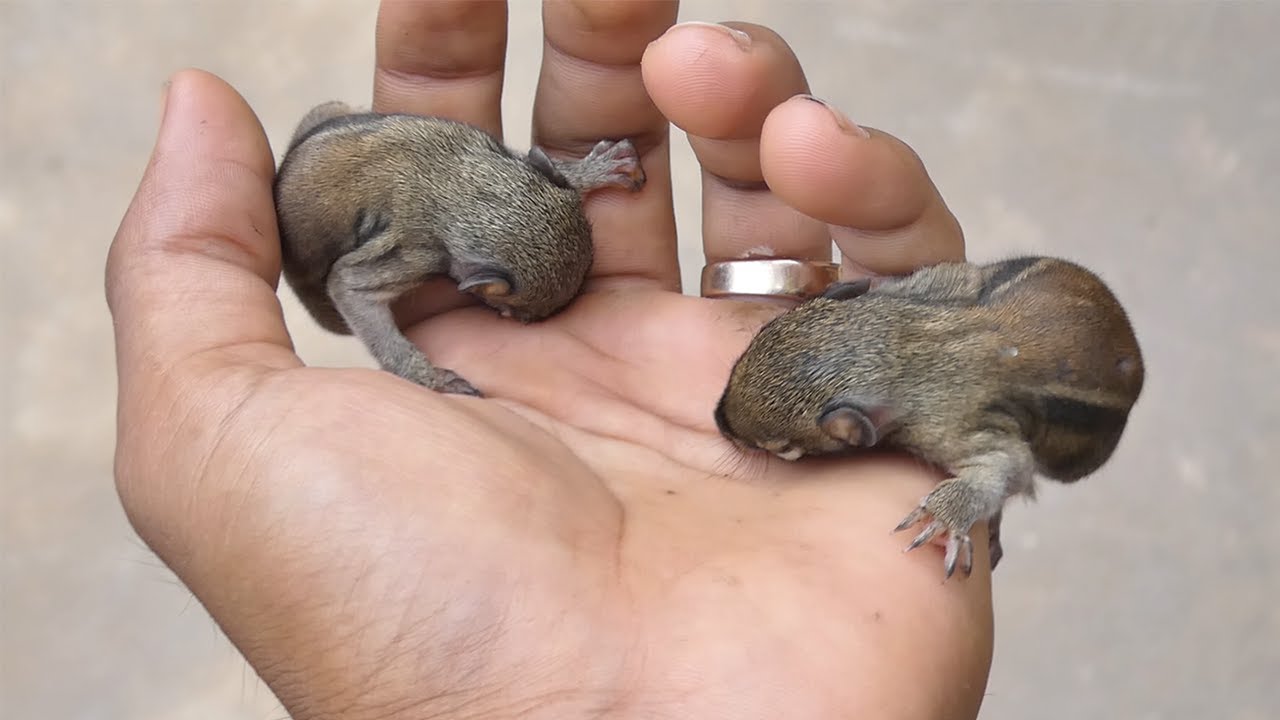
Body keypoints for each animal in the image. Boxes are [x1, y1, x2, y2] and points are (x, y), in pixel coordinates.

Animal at [272, 101, 646, 396]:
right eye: (515, 313)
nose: (523, 321)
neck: (464, 189)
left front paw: (590, 170)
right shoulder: (420, 252)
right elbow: (348, 284)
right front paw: (430, 379)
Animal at [713, 256, 1145, 579]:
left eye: (782, 448)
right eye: (742, 356)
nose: (718, 419)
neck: (911, 348)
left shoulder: (951, 425)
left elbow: (1006, 466)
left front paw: (946, 512)